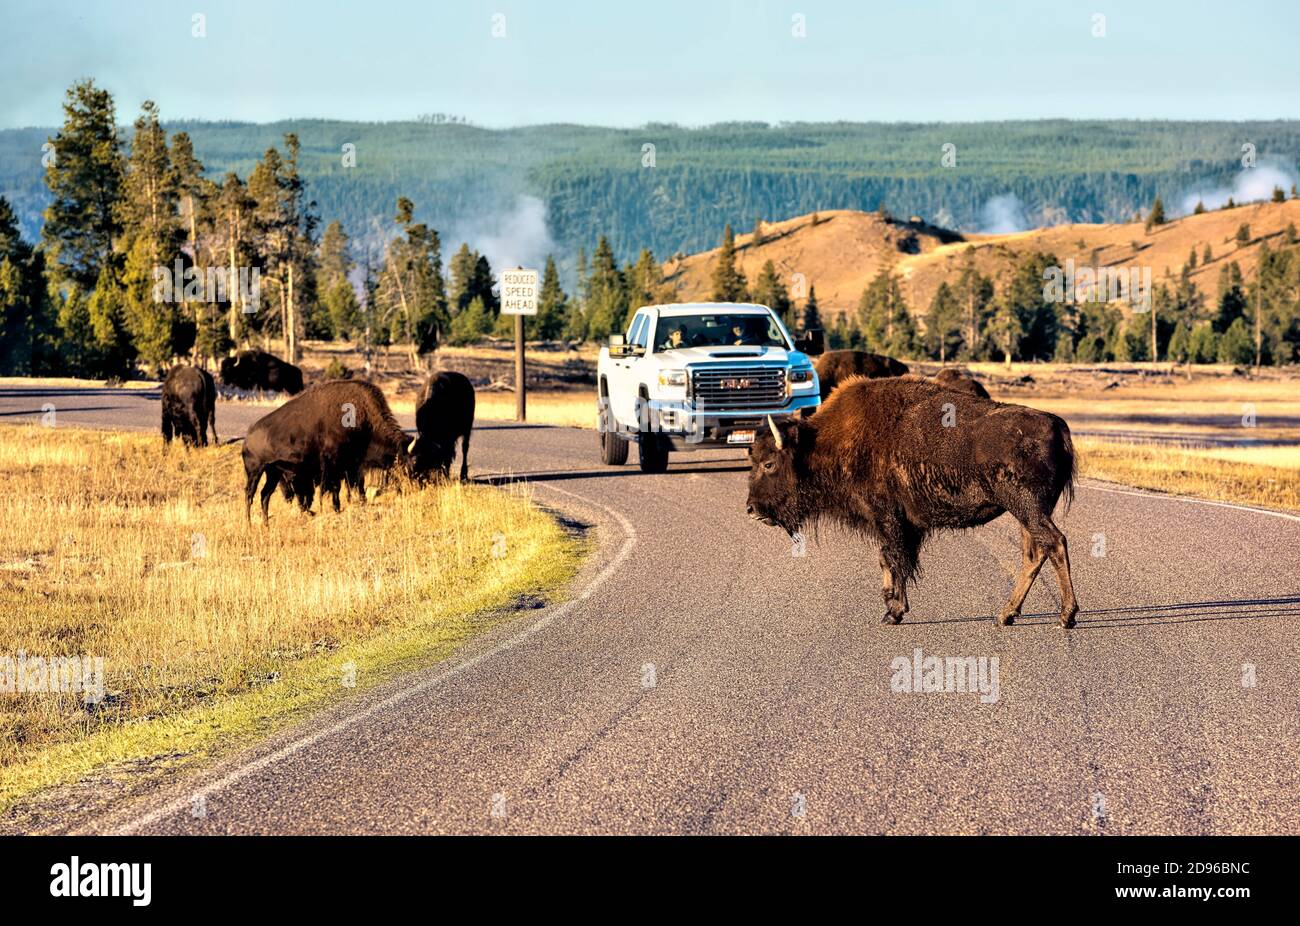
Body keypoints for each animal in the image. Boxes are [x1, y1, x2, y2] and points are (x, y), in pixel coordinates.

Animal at [242, 380, 412, 521]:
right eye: (403, 466)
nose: (410, 489)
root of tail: (248, 437)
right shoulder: (333, 464)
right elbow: (333, 487)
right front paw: (334, 507)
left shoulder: (351, 467)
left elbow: (355, 486)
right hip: (255, 471)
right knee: (250, 494)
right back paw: (249, 521)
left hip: (274, 473)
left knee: (265, 495)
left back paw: (265, 523)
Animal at [746, 375, 1079, 628]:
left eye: (769, 463)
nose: (751, 508)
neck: (822, 443)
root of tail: (1056, 425)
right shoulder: (900, 525)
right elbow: (890, 560)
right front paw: (891, 606)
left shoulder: (888, 520)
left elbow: (894, 560)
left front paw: (893, 612)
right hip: (1027, 514)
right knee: (1034, 554)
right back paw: (1006, 614)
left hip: (1028, 509)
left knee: (1055, 543)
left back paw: (1066, 616)